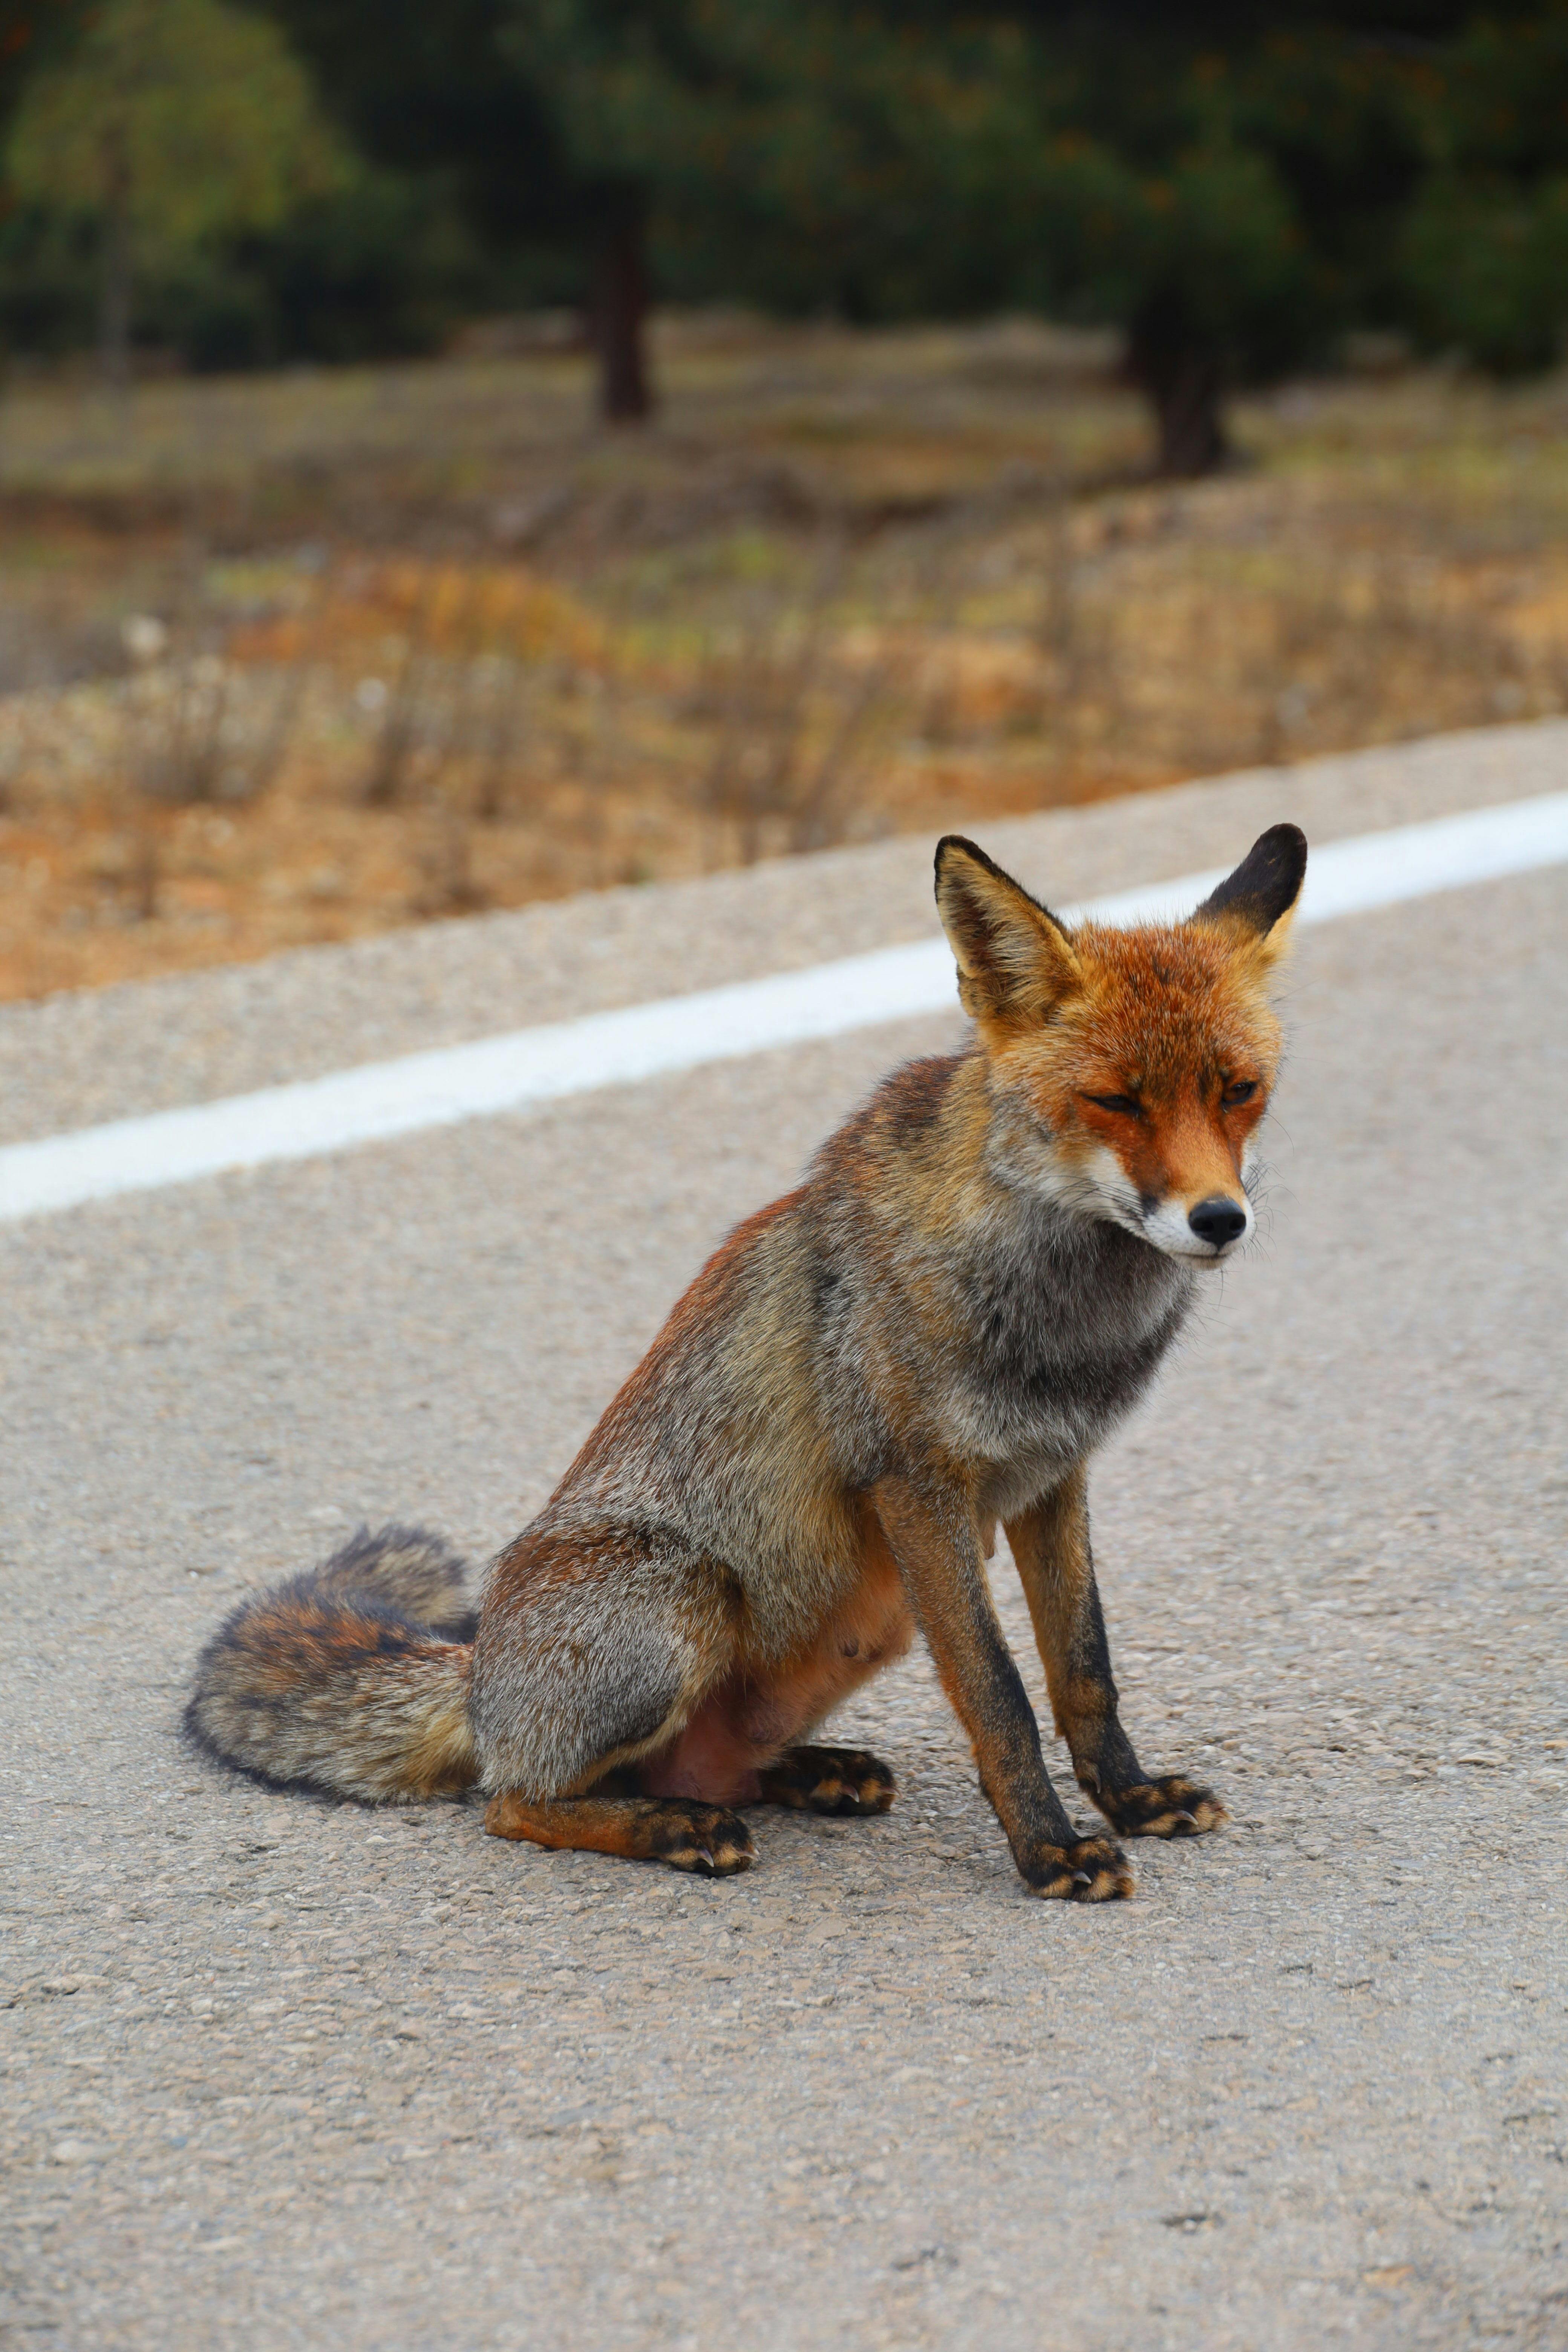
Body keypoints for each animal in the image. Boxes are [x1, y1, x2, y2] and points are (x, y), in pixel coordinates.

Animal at [186, 821, 1307, 1901]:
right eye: (1117, 1101)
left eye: (1238, 1091)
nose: (1220, 1219)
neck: (1063, 1317)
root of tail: (478, 1682)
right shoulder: (917, 1485)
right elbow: (1001, 1698)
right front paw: (1049, 1851)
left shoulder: (1051, 1478)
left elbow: (1084, 1670)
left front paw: (1127, 1797)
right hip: (688, 1601)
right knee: (516, 1801)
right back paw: (673, 1829)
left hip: (867, 1626)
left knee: (702, 1769)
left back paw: (801, 1777)